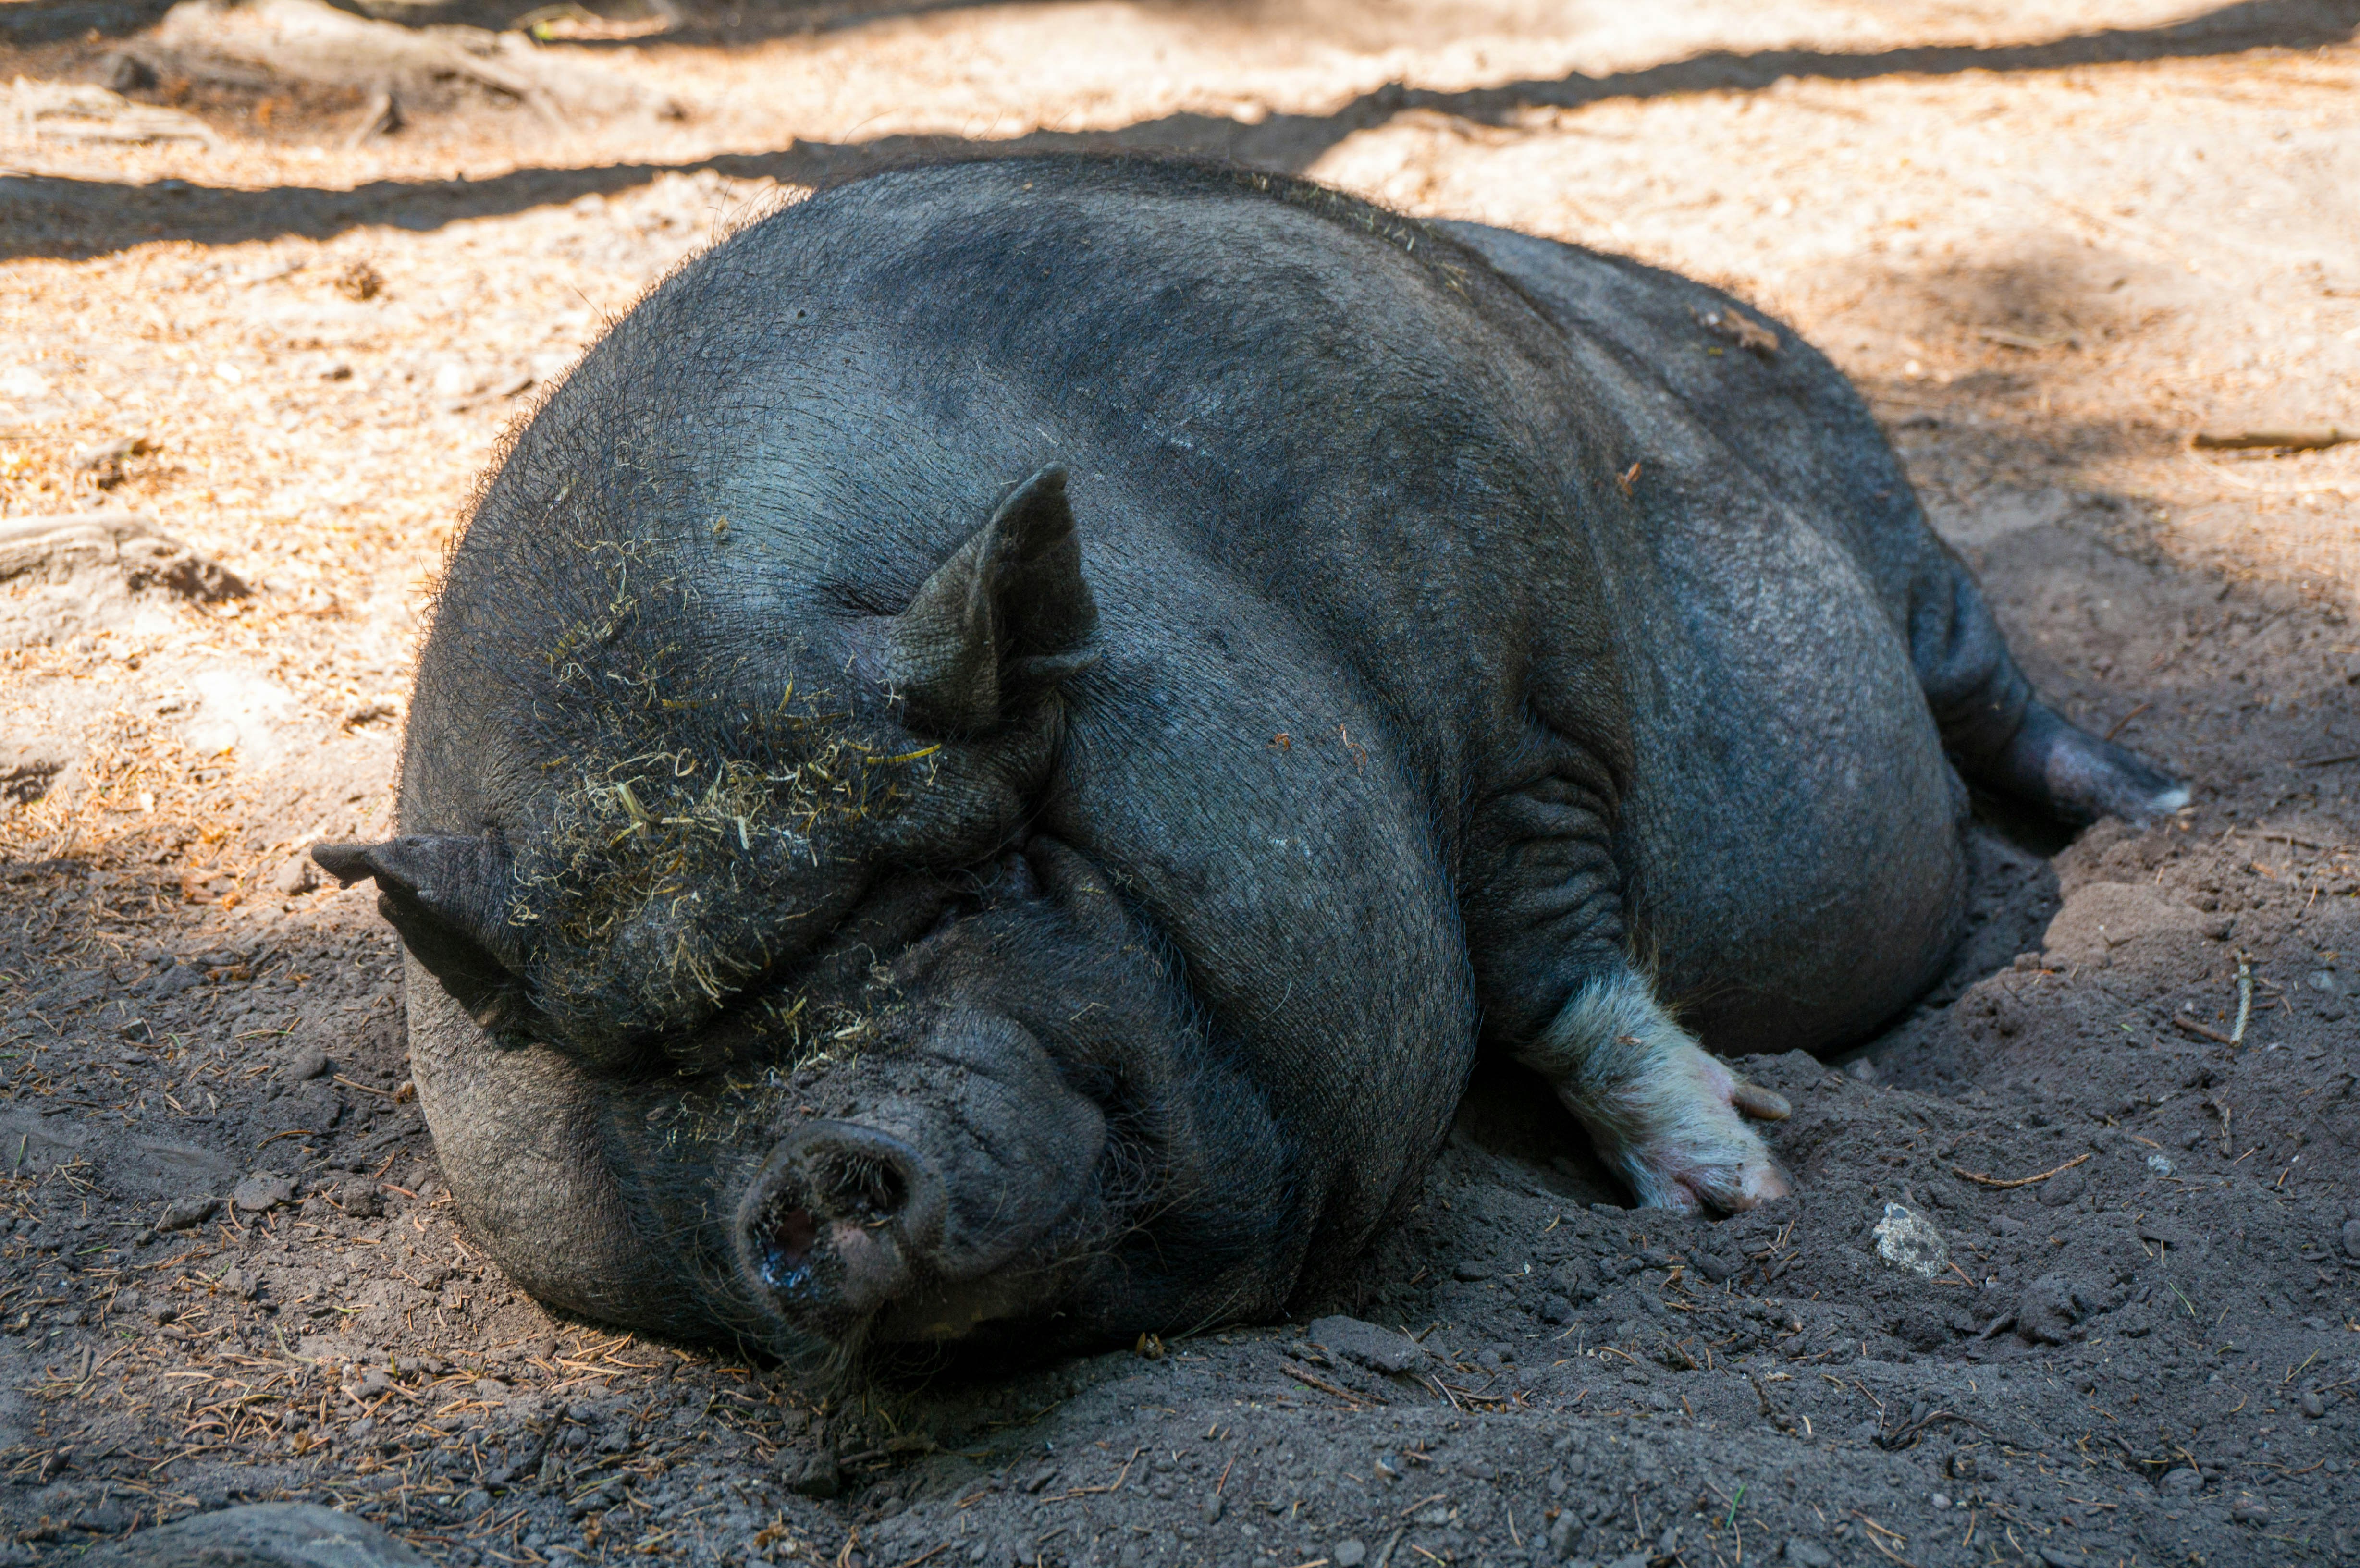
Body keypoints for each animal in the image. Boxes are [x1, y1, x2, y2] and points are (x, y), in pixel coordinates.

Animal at [315, 154, 2184, 1369]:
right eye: (651, 1060)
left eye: (963, 890)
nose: (819, 1161)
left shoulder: (1518, 668)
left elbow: (1551, 951)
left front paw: (1734, 1193)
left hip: (1887, 511)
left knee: (1991, 686)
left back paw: (2160, 811)